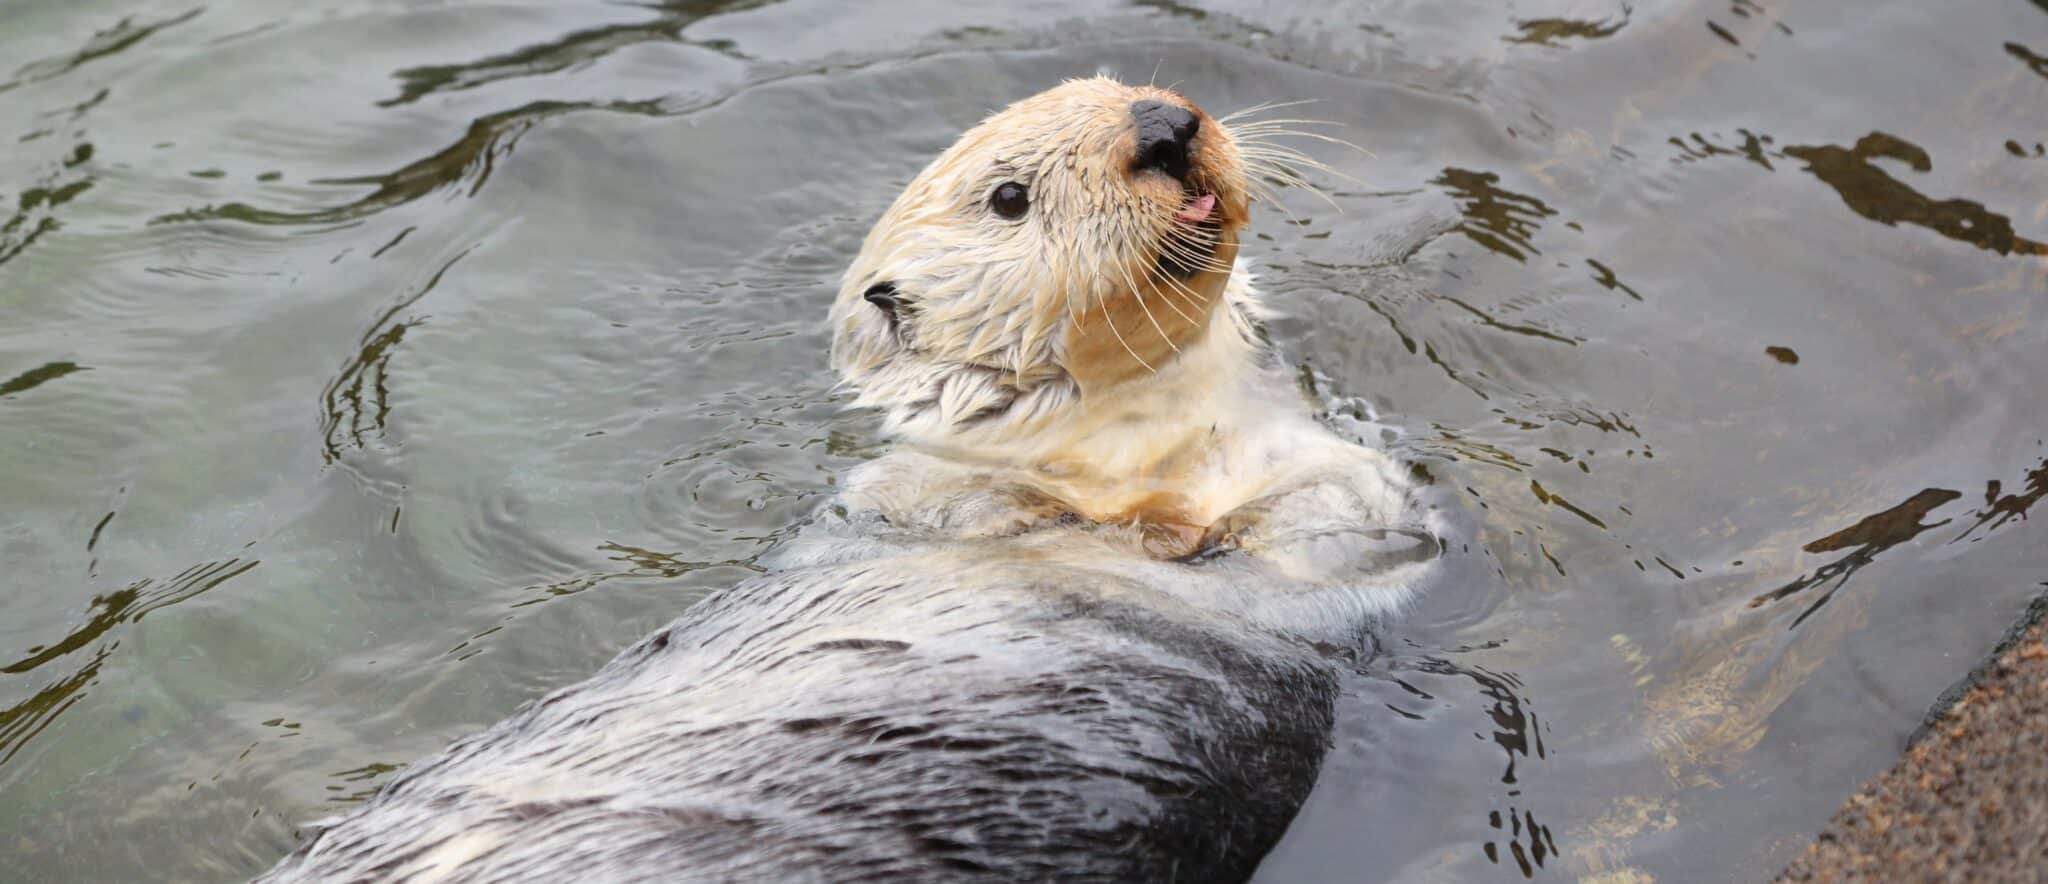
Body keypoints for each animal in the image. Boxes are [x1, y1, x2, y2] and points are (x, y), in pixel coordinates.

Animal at [257, 77, 1438, 883]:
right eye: (1009, 196)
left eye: (1124, 83)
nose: (1163, 125)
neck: (1144, 442)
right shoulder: (908, 488)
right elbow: (970, 508)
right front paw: (1095, 525)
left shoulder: (1342, 487)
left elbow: (1353, 521)